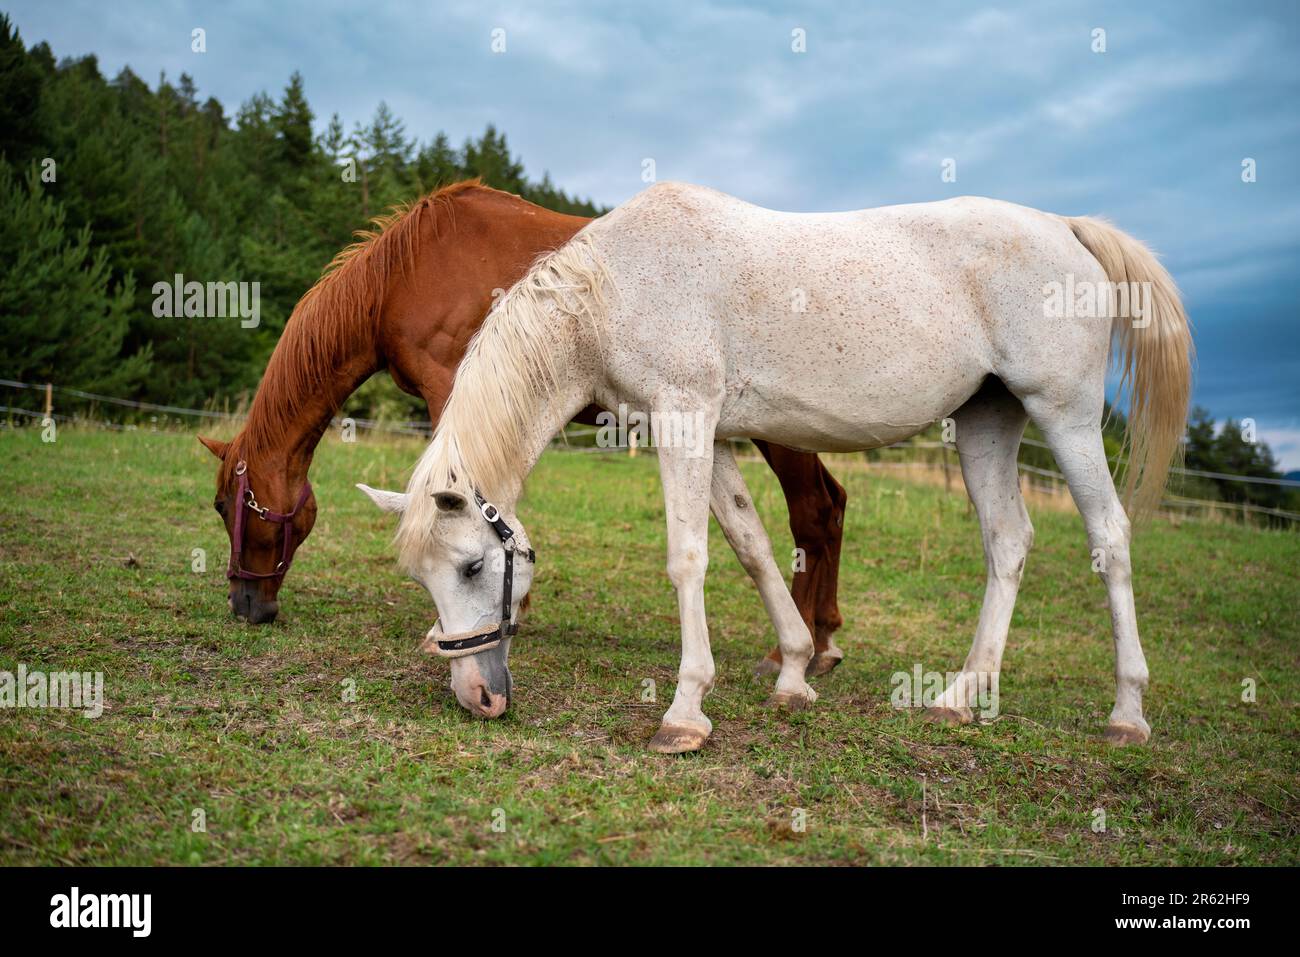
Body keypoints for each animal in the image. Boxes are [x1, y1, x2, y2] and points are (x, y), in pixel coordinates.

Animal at [197, 181, 850, 675]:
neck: (404, 273)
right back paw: (822, 638)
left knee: (814, 513)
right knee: (831, 505)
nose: (244, 605)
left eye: (224, 505)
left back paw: (799, 650)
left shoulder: (454, 391)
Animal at [360, 182, 1192, 753]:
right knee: (1009, 541)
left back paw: (1127, 712)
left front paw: (684, 712)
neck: (619, 284)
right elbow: (753, 546)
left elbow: (689, 556)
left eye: (473, 567)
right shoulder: (712, 435)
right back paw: (963, 691)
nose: (476, 696)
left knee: (1110, 537)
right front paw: (793, 672)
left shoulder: (686, 419)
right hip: (988, 420)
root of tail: (1067, 229)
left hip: (1065, 414)